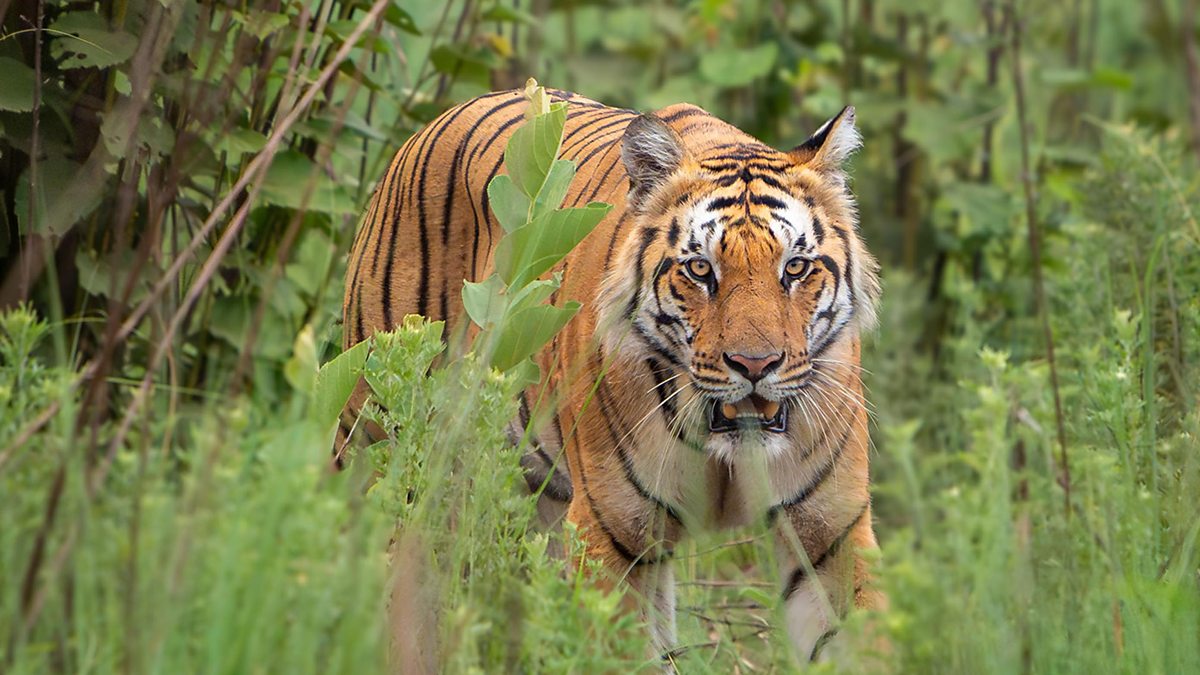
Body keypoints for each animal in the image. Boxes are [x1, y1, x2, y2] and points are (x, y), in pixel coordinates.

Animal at [340, 88, 884, 664]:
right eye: (700, 270)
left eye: (795, 268)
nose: (755, 364)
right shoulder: (614, 530)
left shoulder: (829, 533)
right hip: (384, 445)